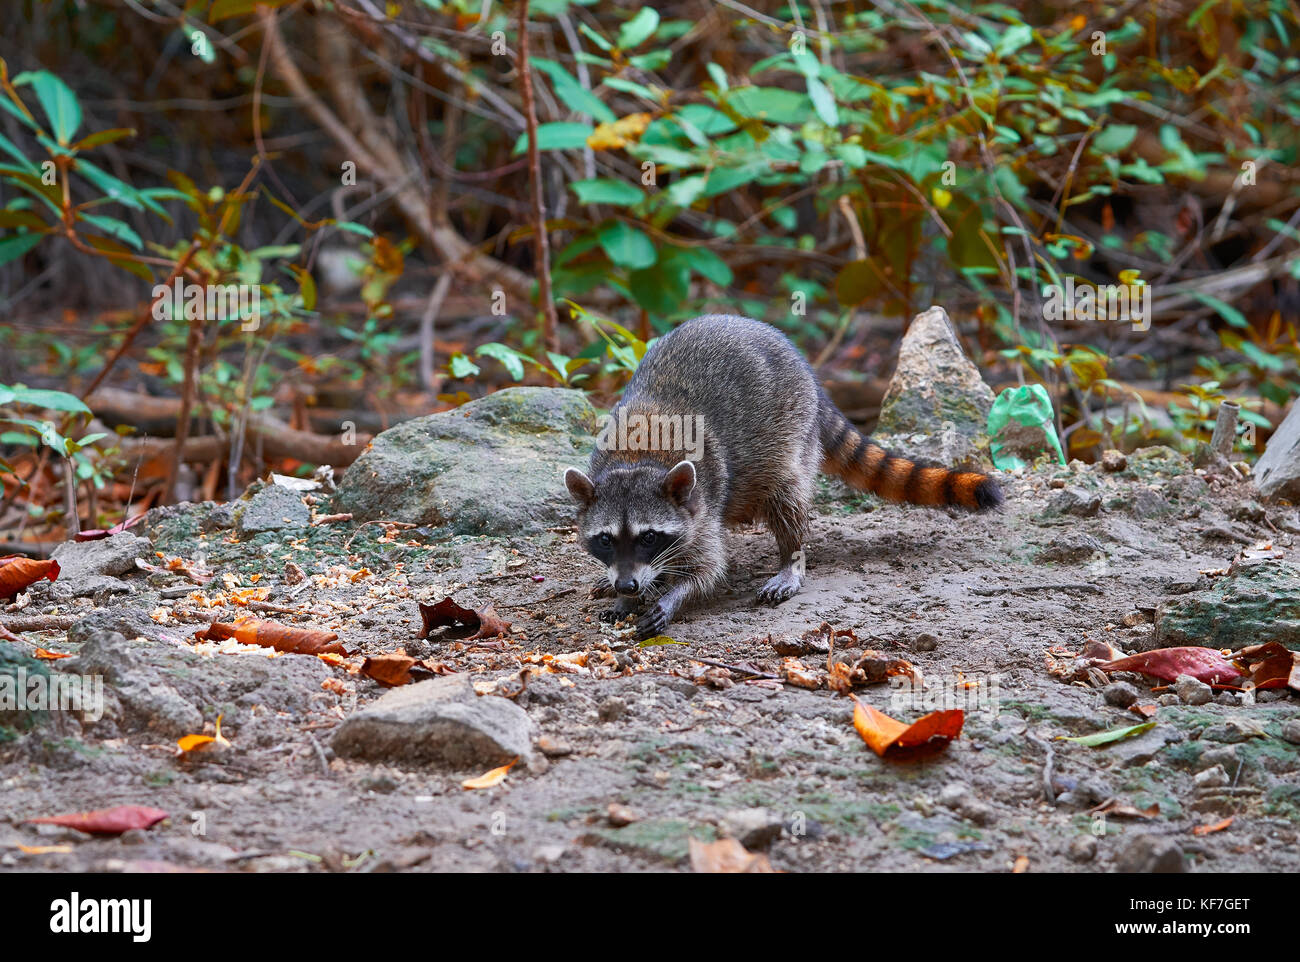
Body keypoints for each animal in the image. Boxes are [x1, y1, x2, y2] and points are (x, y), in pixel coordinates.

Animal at [564, 314, 1002, 639]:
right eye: (605, 540)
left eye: (649, 537)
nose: (627, 586)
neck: (635, 462)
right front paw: (626, 596)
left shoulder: (701, 504)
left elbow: (709, 569)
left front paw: (672, 596)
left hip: (791, 429)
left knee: (785, 495)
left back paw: (791, 558)